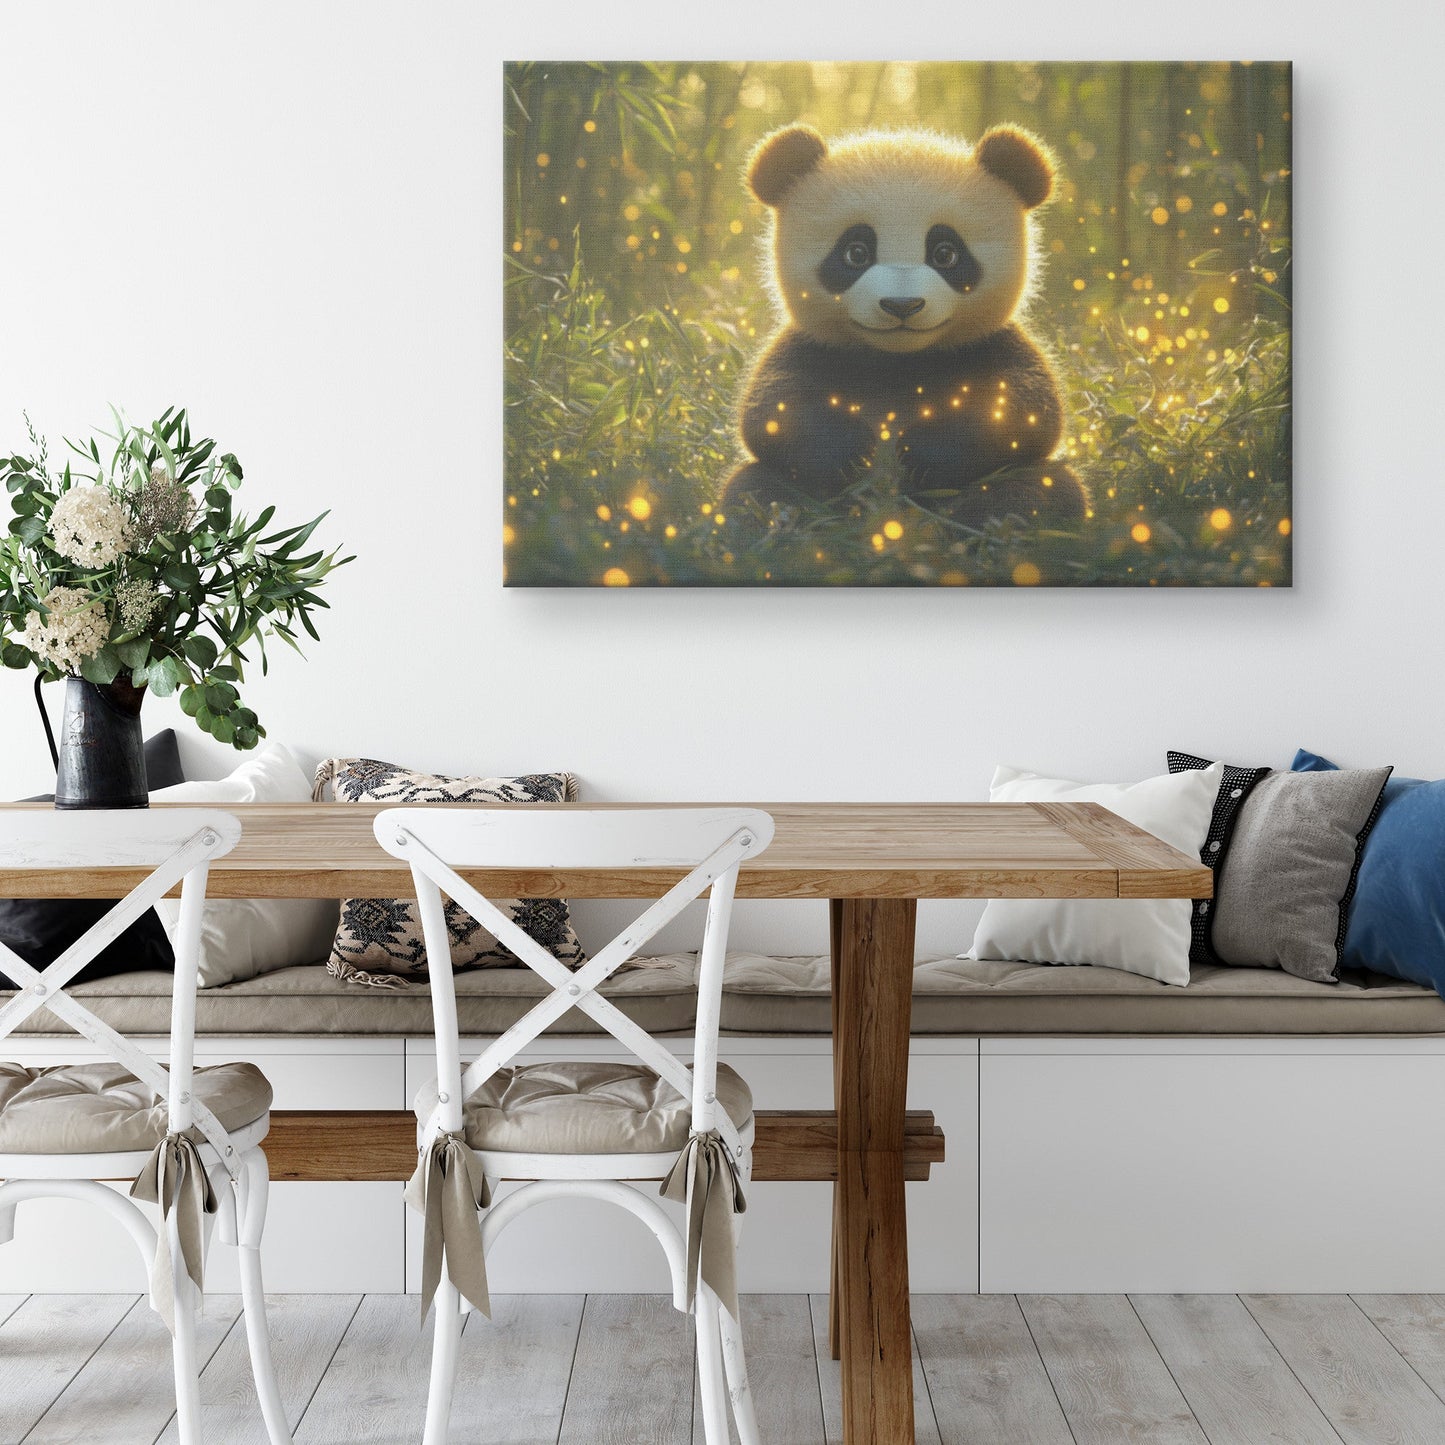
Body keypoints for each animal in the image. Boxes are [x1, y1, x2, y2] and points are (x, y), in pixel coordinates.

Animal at [720, 124, 1087, 524]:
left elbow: (1027, 407)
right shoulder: (813, 346)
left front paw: (923, 453)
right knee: (751, 491)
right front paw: (851, 452)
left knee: (1042, 489)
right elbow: (770, 407)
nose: (902, 305)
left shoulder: (991, 343)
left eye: (945, 253)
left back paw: (976, 522)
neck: (899, 361)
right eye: (856, 253)